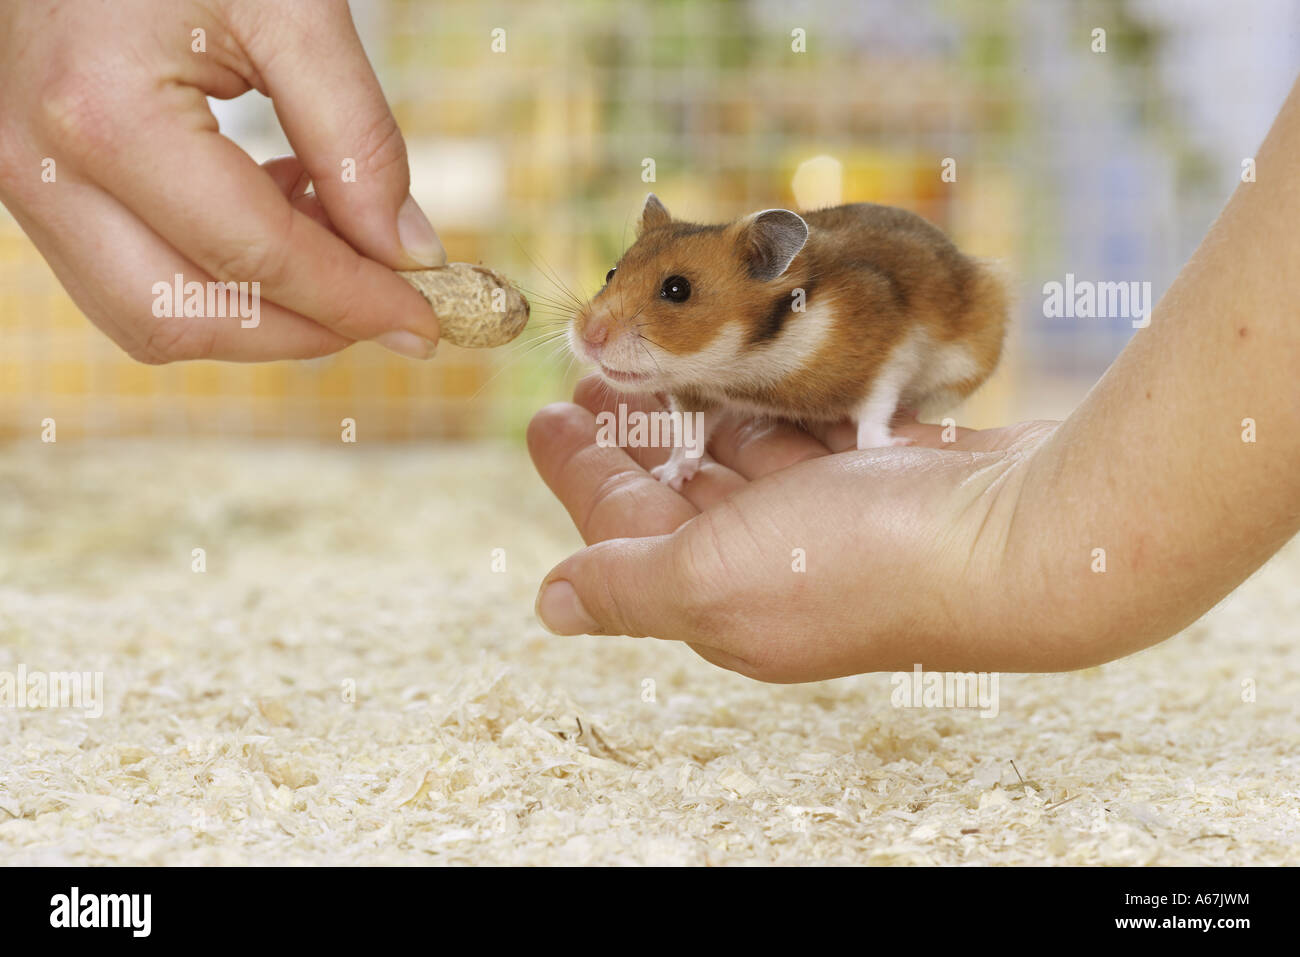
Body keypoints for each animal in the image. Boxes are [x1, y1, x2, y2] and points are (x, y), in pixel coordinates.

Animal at [569, 193, 1009, 489]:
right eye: (610, 273)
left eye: (677, 289)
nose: (587, 337)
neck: (743, 361)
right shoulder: (696, 393)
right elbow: (691, 436)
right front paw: (670, 476)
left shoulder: (891, 354)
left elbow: (874, 412)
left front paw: (898, 443)